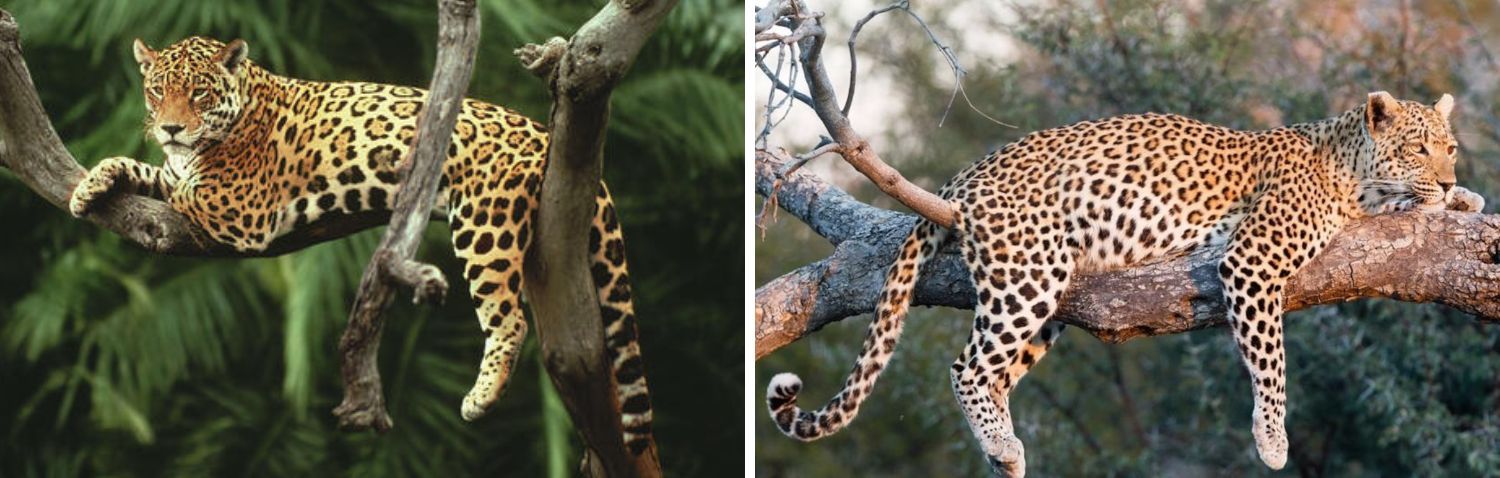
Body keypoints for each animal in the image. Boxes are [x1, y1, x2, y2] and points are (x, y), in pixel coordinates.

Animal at [67, 36, 655, 456]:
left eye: (200, 94)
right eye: (156, 91)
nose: (170, 128)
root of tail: (542, 133)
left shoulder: (240, 207)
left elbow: (181, 186)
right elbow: (149, 170)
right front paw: (90, 184)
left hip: (484, 225)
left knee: (508, 318)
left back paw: (480, 398)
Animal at [766, 91, 1485, 476]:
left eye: (1449, 147)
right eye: (1418, 148)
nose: (1450, 175)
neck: (1350, 168)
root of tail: (964, 176)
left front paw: (1463, 199)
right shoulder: (1251, 262)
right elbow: (1272, 362)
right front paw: (1273, 439)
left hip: (1048, 298)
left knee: (990, 370)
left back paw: (1005, 450)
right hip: (1029, 272)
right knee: (966, 367)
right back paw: (1002, 444)